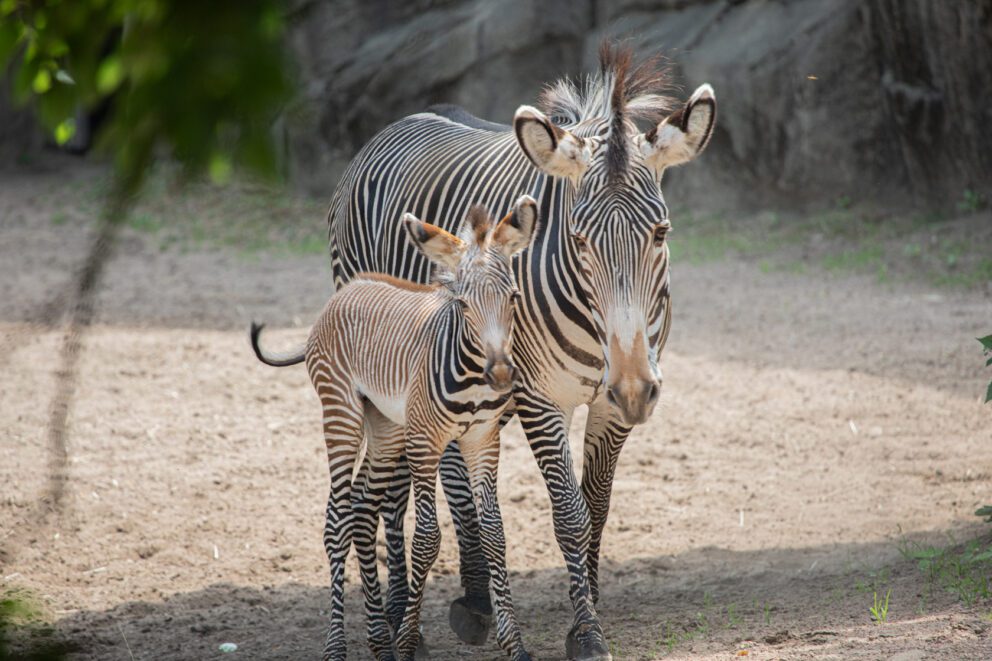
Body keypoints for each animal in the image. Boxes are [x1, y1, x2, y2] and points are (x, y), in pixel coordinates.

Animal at [251, 197, 539, 661]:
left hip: (385, 426)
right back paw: (338, 647)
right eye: (462, 305)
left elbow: (494, 533)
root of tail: (349, 288)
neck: (471, 373)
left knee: (362, 509)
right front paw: (407, 643)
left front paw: (516, 647)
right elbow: (426, 539)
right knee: (337, 518)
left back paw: (378, 641)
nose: (499, 374)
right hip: (342, 413)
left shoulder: (482, 439)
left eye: (513, 298)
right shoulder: (425, 441)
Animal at [325, 44, 716, 660]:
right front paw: (587, 632)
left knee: (453, 472)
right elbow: (569, 515)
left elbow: (596, 507)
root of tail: (405, 120)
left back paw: (474, 601)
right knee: (396, 491)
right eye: (579, 239)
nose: (634, 386)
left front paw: (587, 611)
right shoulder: (537, 397)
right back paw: (405, 618)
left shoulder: (609, 405)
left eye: (661, 233)